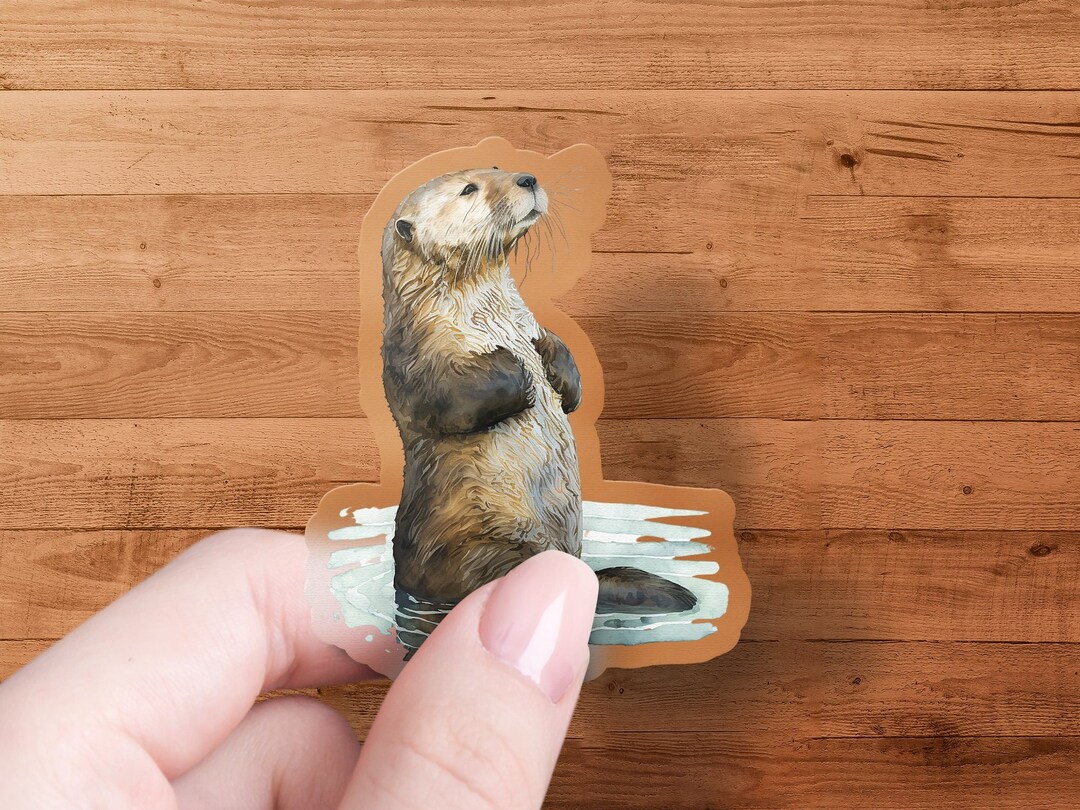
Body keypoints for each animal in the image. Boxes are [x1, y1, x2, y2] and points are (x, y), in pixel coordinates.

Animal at [380, 167, 695, 647]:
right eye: (468, 189)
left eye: (496, 168)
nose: (526, 178)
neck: (490, 319)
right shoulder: (411, 353)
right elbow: (435, 398)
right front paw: (516, 370)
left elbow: (564, 368)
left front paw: (547, 357)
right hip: (473, 547)